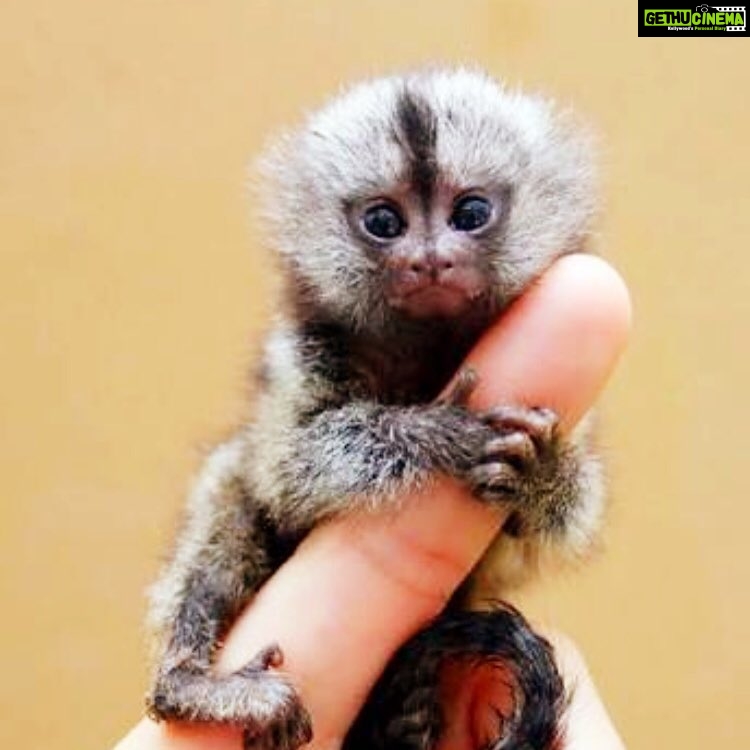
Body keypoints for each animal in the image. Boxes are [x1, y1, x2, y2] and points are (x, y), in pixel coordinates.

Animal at [144, 67, 604, 750]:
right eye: (384, 221)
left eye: (470, 213)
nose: (430, 260)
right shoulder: (307, 350)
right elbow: (286, 471)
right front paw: (434, 433)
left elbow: (547, 533)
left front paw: (544, 476)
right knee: (231, 490)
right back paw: (189, 685)